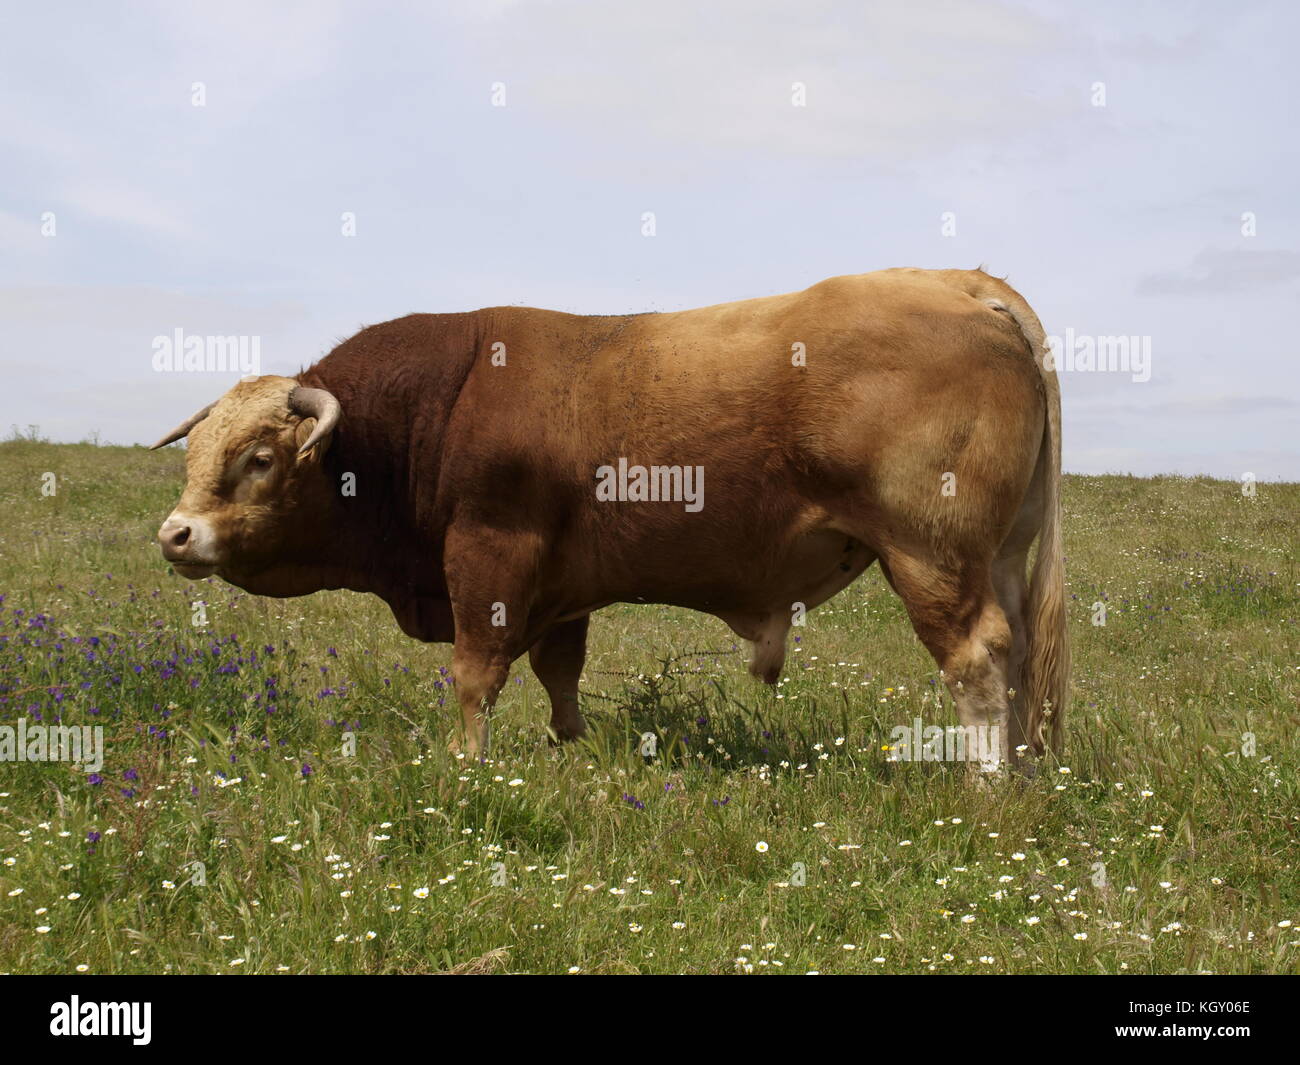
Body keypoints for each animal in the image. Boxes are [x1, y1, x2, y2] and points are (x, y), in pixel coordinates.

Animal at [152, 268, 1068, 764]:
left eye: (259, 458)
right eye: (196, 452)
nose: (176, 532)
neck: (433, 407)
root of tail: (959, 282)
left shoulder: (489, 556)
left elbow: (476, 673)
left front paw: (466, 764)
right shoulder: (563, 586)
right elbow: (560, 674)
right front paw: (572, 751)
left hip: (931, 555)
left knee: (978, 660)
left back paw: (986, 790)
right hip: (1001, 558)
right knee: (1021, 656)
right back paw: (1027, 774)